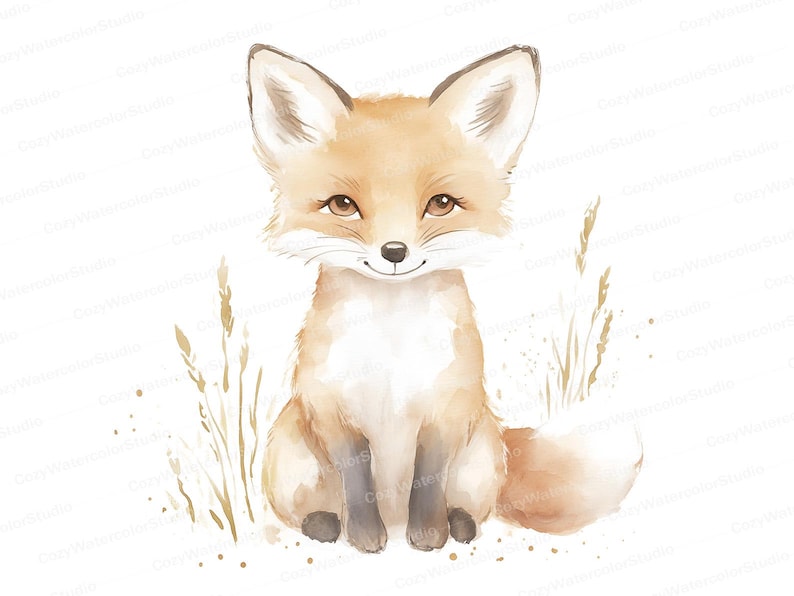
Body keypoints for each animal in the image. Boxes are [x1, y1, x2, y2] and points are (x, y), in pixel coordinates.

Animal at [246, 44, 641, 553]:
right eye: (342, 205)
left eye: (441, 203)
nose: (394, 252)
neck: (392, 351)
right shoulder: (331, 408)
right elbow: (357, 483)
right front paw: (367, 539)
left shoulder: (447, 408)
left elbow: (429, 479)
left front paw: (429, 537)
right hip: (287, 456)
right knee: (312, 510)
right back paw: (325, 526)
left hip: (480, 457)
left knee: (470, 505)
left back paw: (461, 526)